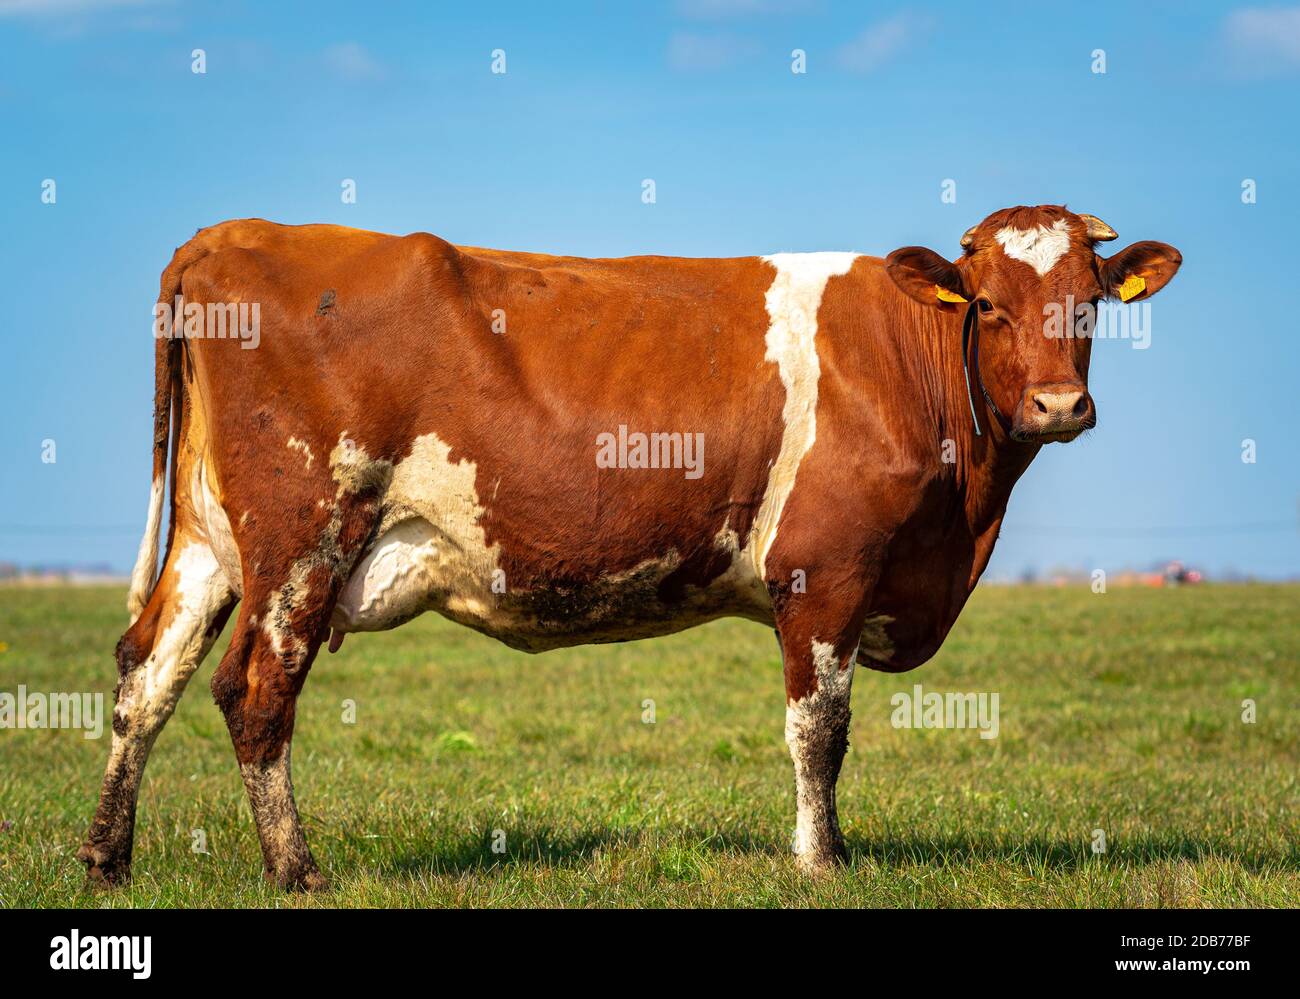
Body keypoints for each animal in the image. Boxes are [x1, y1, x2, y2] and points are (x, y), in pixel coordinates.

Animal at [79, 205, 1181, 890]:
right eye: (987, 303)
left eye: (1088, 301)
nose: (1058, 405)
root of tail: (229, 235)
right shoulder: (827, 570)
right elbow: (819, 729)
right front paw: (822, 861)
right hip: (304, 535)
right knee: (253, 690)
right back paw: (297, 870)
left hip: (211, 544)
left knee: (147, 673)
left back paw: (107, 858)